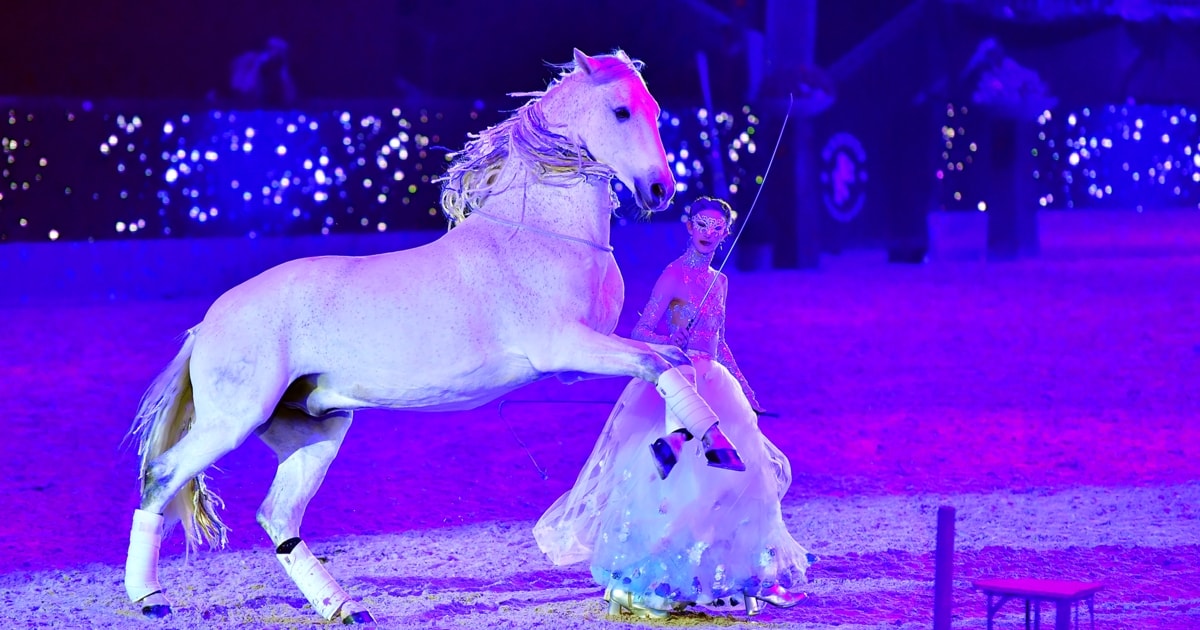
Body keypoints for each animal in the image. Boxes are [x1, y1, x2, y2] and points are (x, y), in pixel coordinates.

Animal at [124, 49, 743, 624]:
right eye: (620, 111)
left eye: (656, 110)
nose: (660, 190)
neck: (542, 234)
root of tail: (209, 322)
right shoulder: (568, 349)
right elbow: (660, 364)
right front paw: (714, 447)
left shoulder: (587, 357)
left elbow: (671, 363)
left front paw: (691, 446)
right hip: (234, 421)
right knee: (162, 476)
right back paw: (150, 598)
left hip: (316, 431)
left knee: (277, 516)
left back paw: (344, 607)